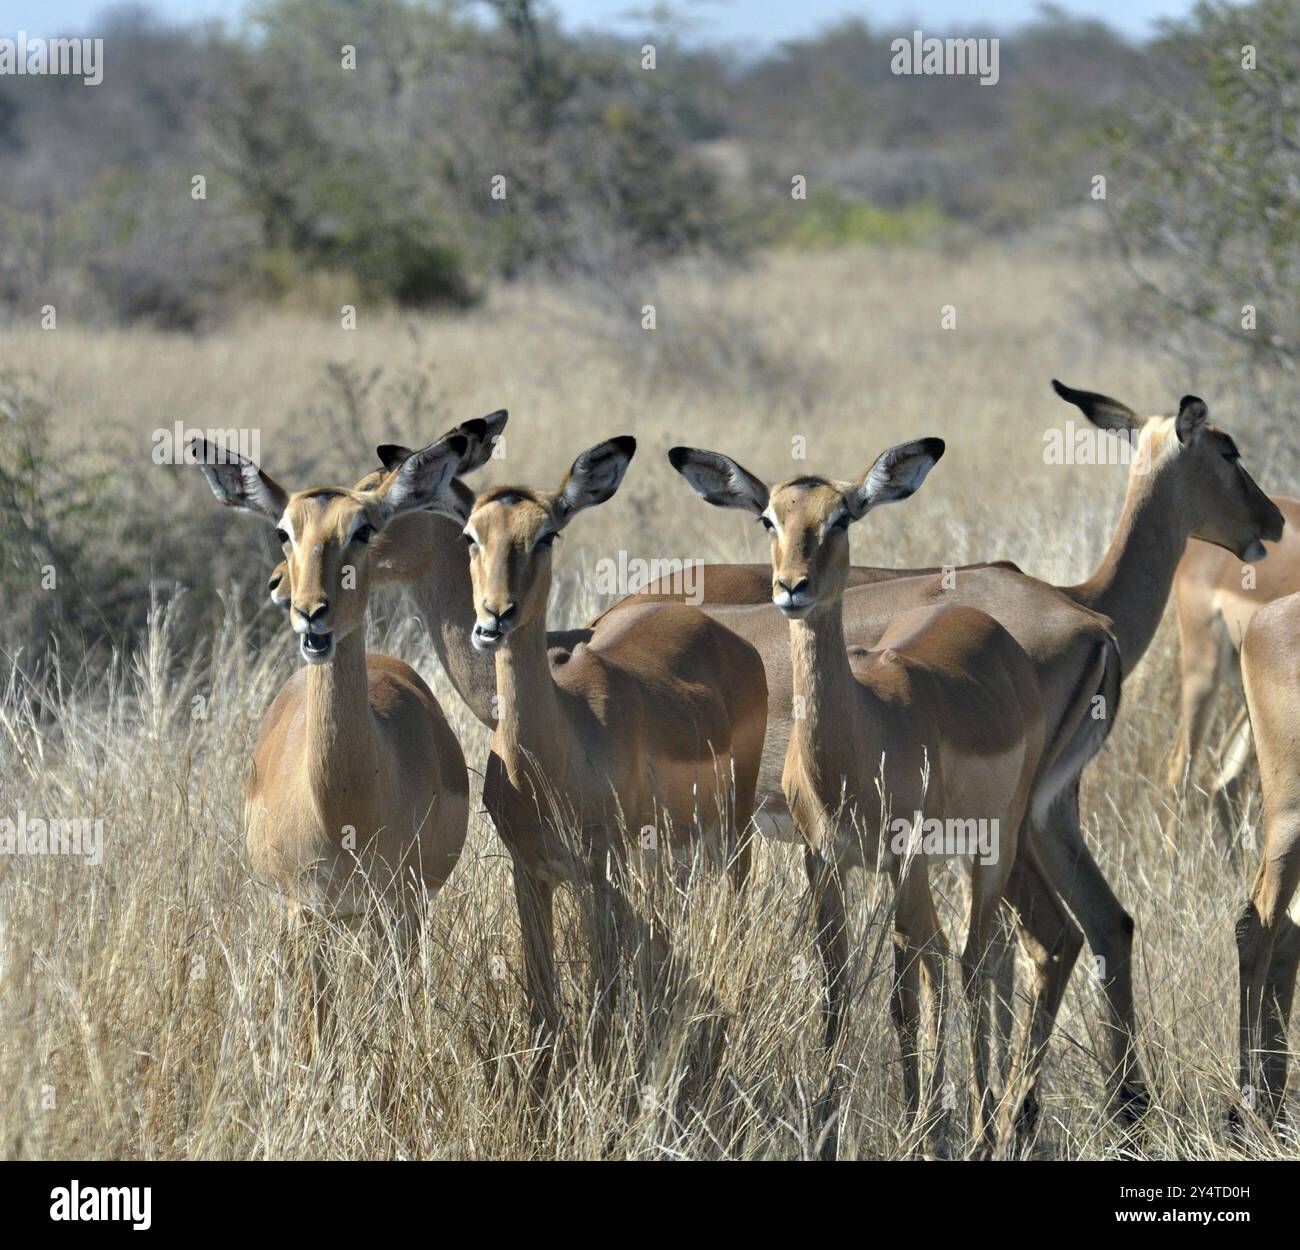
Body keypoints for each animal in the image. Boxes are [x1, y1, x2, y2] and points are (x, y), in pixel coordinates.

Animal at [193, 431, 473, 1013]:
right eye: (283, 531)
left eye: (364, 528)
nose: (309, 613)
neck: (344, 807)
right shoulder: (304, 913)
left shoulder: (400, 909)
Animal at [669, 439, 1045, 1157]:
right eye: (769, 517)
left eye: (842, 516)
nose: (792, 587)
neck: (862, 737)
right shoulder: (824, 861)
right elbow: (839, 993)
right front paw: (825, 1129)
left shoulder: (902, 860)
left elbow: (901, 995)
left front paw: (917, 1125)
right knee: (953, 958)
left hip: (993, 845)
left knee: (973, 962)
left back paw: (981, 1126)